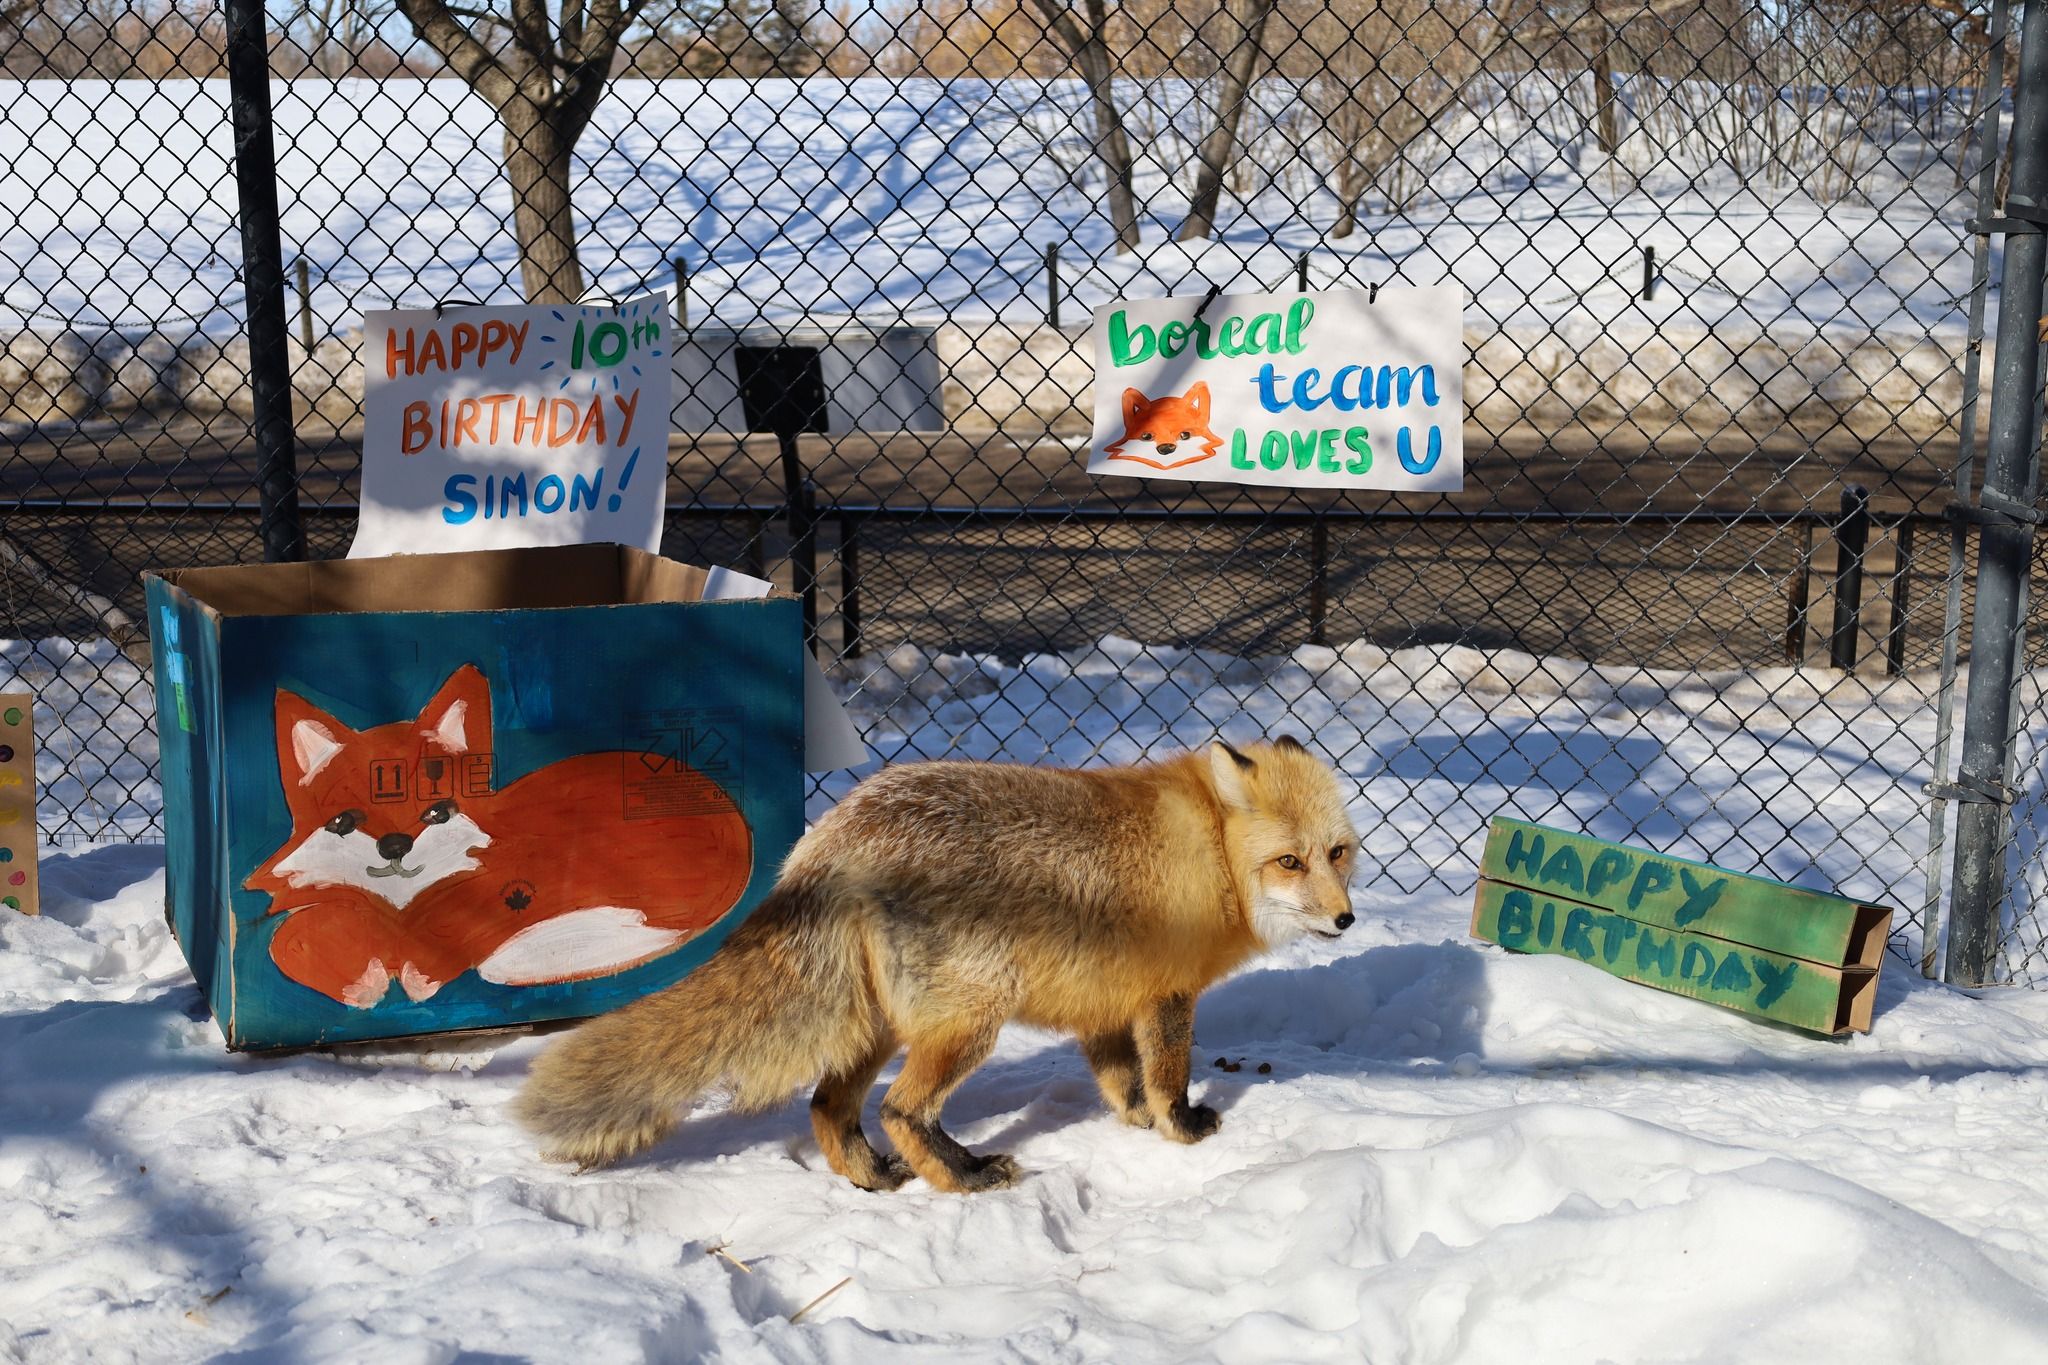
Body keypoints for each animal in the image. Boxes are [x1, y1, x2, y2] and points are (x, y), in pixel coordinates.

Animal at [248, 664, 754, 1009]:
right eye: (345, 822)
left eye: (437, 812)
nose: (395, 845)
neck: (400, 911)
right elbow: (285, 939)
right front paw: (361, 980)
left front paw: (411, 976)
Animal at [514, 736, 1358, 1194]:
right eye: (1289, 861)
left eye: (1339, 853)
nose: (1347, 919)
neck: (1211, 854)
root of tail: (832, 836)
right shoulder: (1166, 994)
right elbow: (1169, 1076)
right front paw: (1181, 1131)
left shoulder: (1104, 1003)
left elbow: (1122, 1085)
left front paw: (1138, 1124)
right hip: (971, 1019)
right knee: (900, 1108)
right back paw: (966, 1178)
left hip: (879, 1025)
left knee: (829, 1102)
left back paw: (869, 1176)